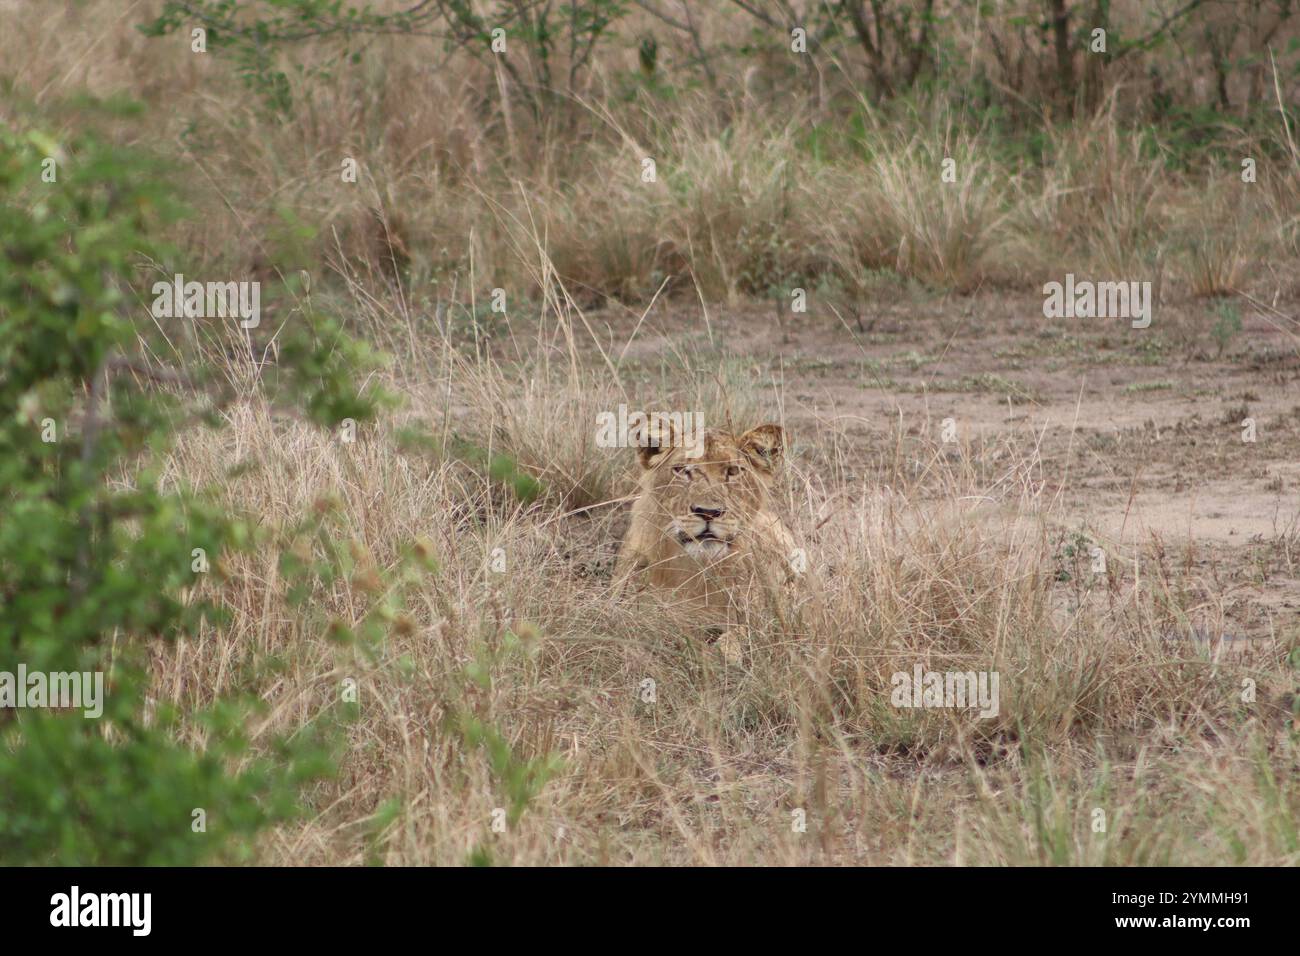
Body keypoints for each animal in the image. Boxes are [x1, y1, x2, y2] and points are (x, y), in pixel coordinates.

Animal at [613, 417, 800, 663]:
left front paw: (721, 654)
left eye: (733, 471)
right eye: (683, 470)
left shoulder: (767, 622)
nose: (708, 512)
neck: (696, 572)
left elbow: (739, 637)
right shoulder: (627, 613)